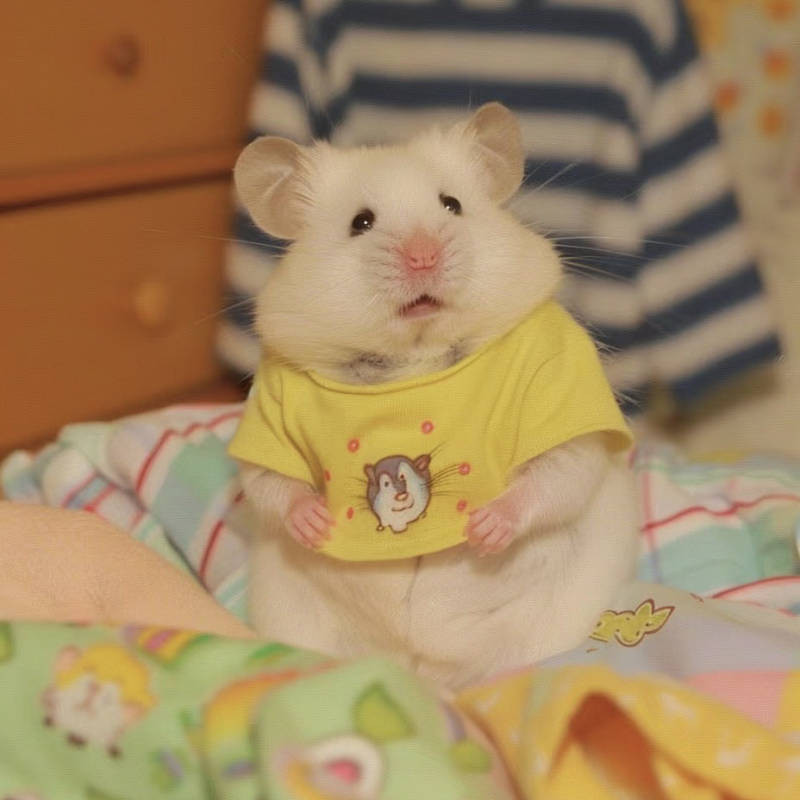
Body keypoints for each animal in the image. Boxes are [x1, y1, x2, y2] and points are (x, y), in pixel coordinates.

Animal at [233, 103, 639, 688]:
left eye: (453, 204)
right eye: (361, 222)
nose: (423, 256)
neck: (414, 359)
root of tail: (426, 670)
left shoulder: (557, 389)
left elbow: (560, 470)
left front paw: (484, 529)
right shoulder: (269, 408)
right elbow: (268, 480)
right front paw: (316, 524)